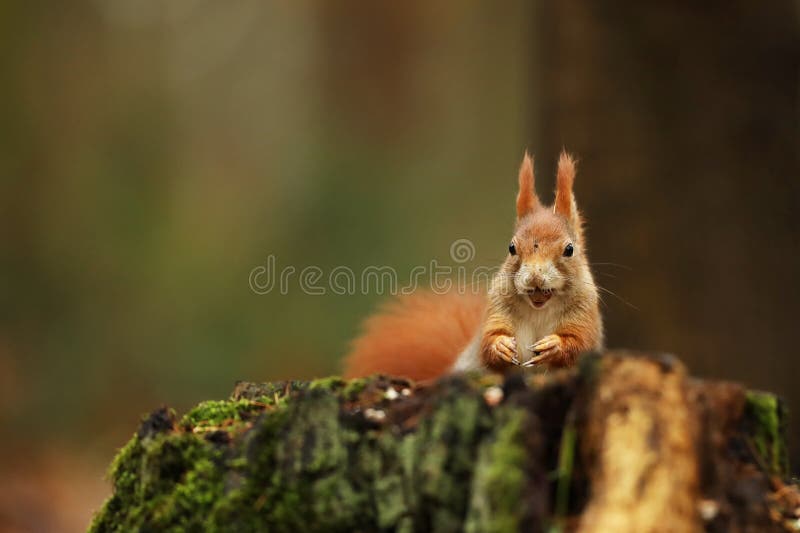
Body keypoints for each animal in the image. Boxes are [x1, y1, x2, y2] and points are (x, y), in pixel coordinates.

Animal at [344, 151, 603, 381]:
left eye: (569, 249)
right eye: (512, 248)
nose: (535, 278)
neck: (540, 309)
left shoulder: (585, 314)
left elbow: (579, 343)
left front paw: (553, 346)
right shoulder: (497, 308)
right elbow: (488, 341)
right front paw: (500, 346)